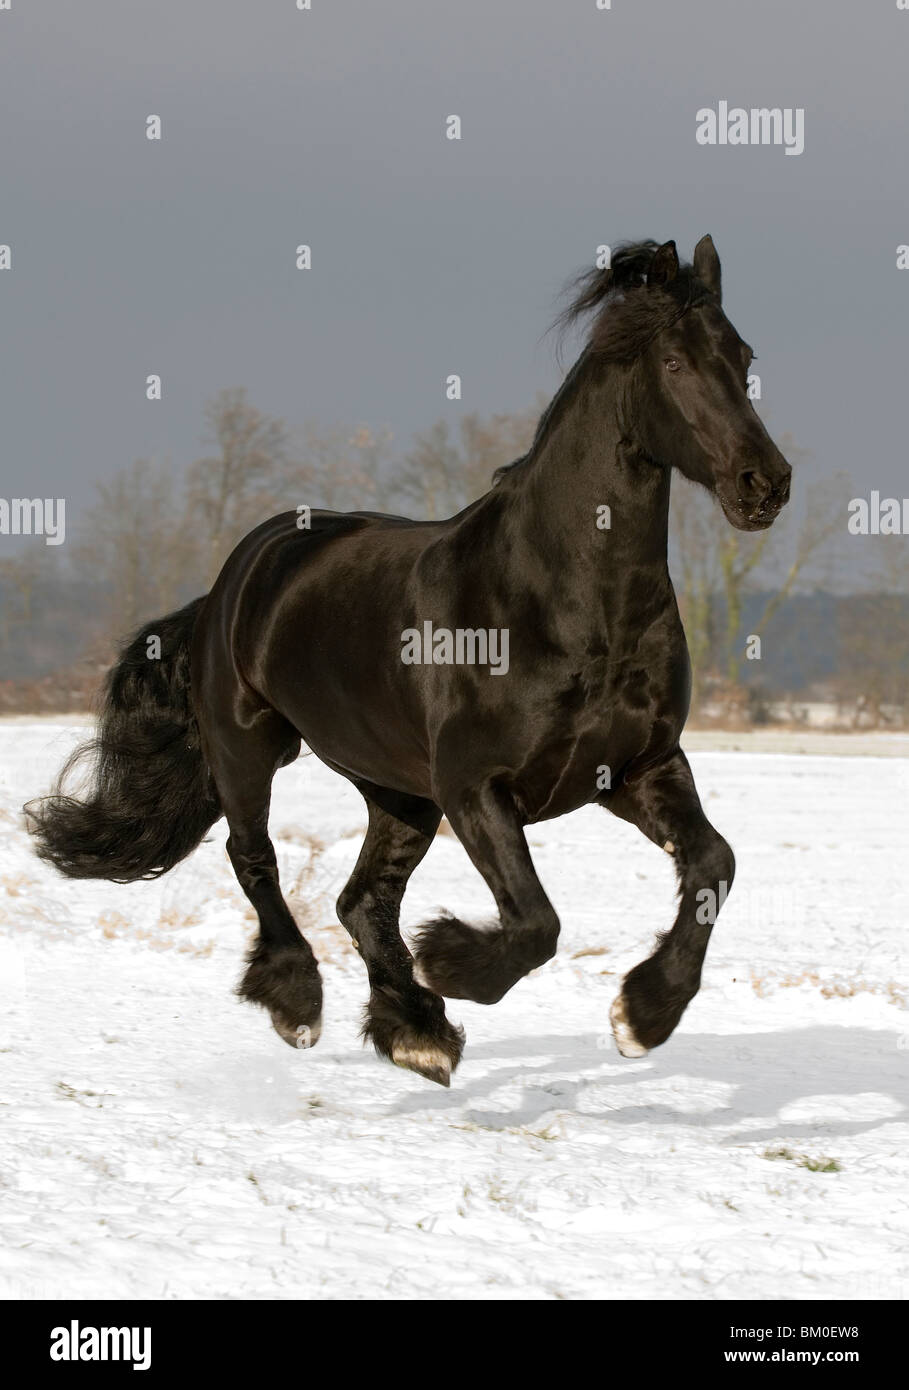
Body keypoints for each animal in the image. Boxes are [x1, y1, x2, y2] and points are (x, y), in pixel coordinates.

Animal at [27, 237, 792, 1087]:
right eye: (674, 363)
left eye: (742, 356)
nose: (765, 483)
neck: (563, 604)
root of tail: (240, 574)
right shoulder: (475, 786)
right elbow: (535, 921)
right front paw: (453, 961)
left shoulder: (637, 769)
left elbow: (713, 863)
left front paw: (643, 1014)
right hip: (250, 749)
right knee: (253, 857)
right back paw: (304, 1003)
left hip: (398, 793)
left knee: (362, 900)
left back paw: (413, 1031)